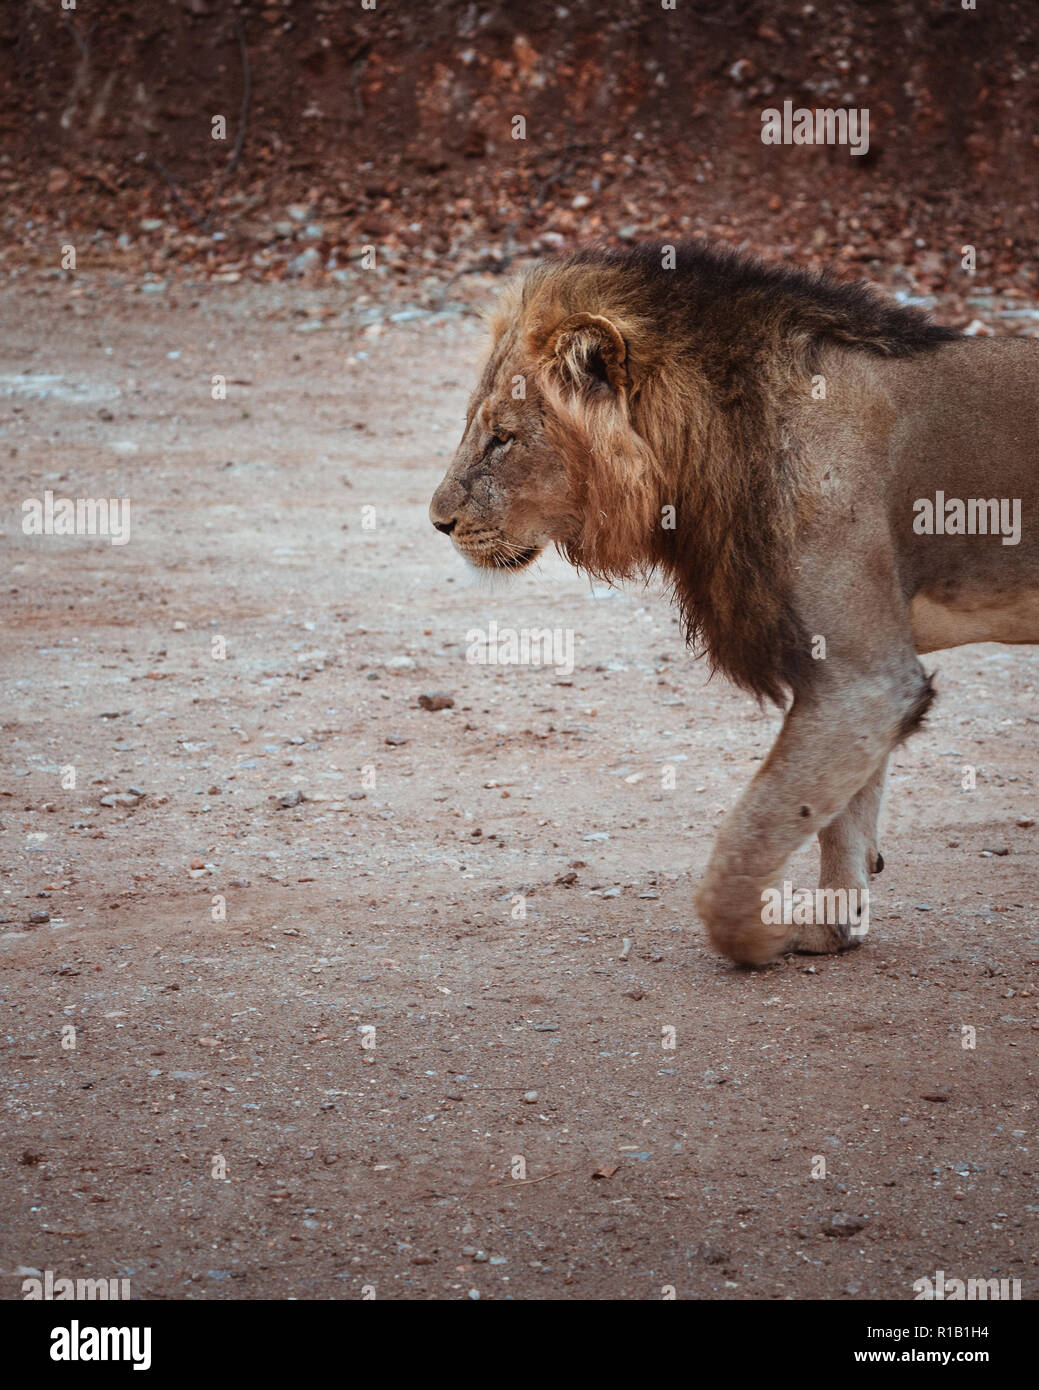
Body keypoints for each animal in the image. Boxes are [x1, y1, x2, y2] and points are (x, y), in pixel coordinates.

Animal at [429, 241, 1039, 965]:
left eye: (503, 438)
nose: (437, 523)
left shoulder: (864, 679)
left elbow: (753, 834)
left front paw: (759, 934)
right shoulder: (858, 679)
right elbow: (843, 815)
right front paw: (833, 925)